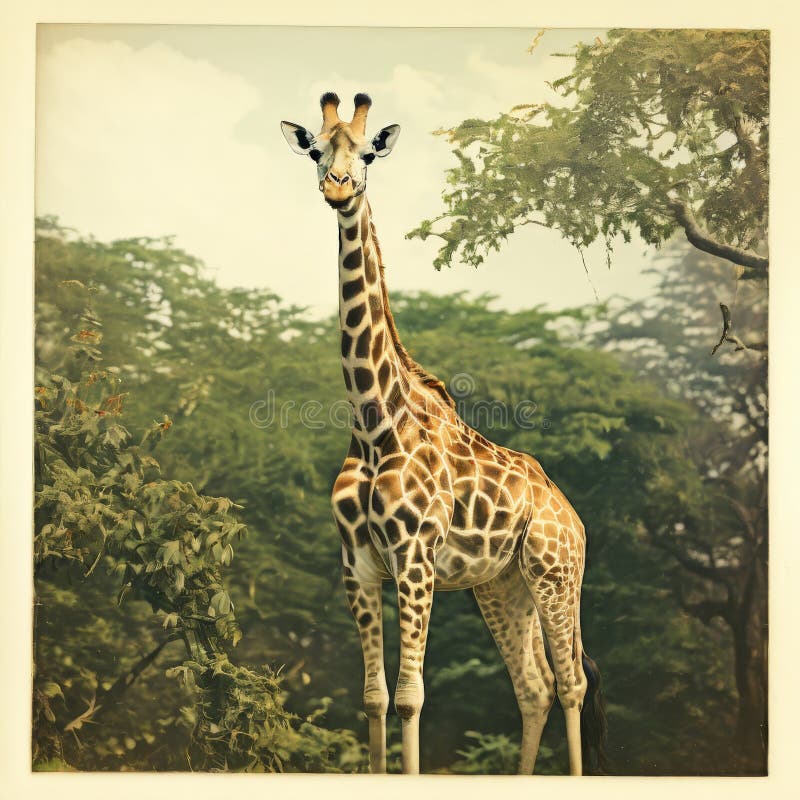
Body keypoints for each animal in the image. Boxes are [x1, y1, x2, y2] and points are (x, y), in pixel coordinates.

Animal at [280, 92, 607, 776]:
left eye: (367, 153)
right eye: (317, 149)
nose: (337, 187)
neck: (373, 423)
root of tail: (572, 515)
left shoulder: (414, 557)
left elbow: (410, 698)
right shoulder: (357, 565)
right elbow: (375, 698)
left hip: (556, 572)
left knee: (571, 683)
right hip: (501, 585)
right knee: (533, 685)